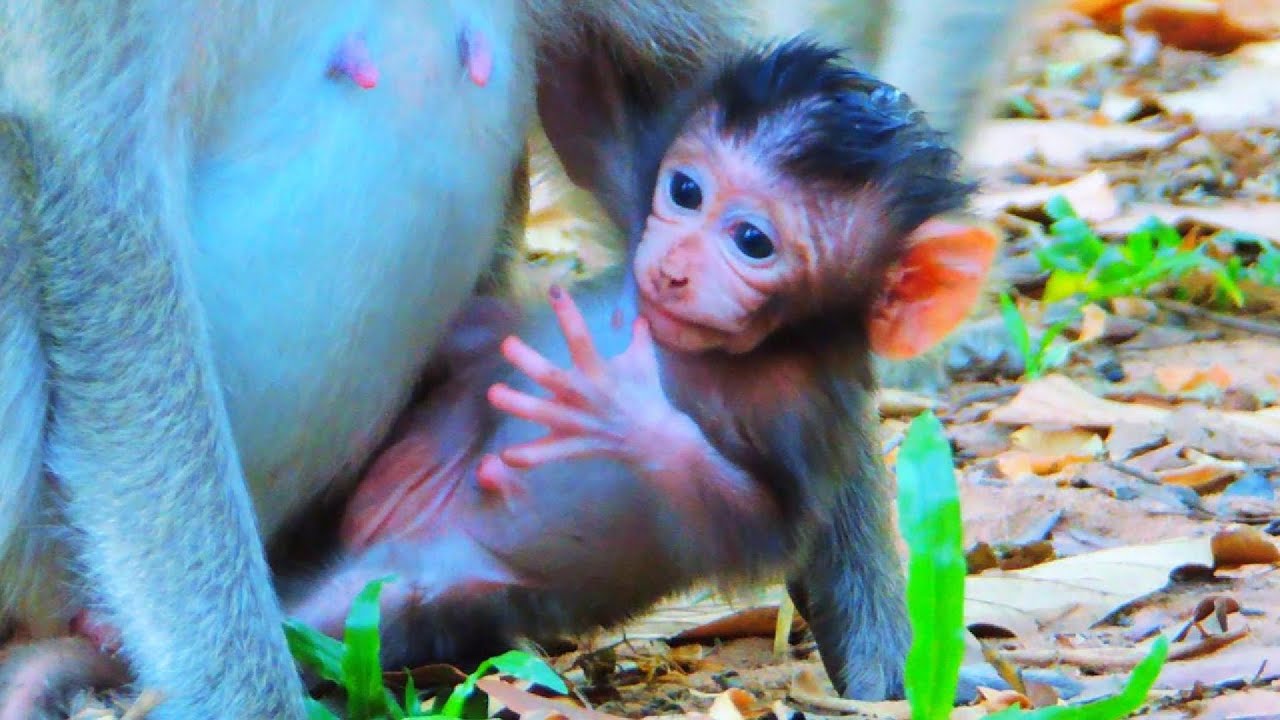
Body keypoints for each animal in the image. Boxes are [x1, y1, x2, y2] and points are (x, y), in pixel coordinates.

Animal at [281, 38, 996, 702]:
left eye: (753, 242)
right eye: (686, 192)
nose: (673, 268)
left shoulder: (807, 407)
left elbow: (763, 527)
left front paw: (619, 411)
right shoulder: (636, 203)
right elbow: (579, 110)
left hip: (423, 585)